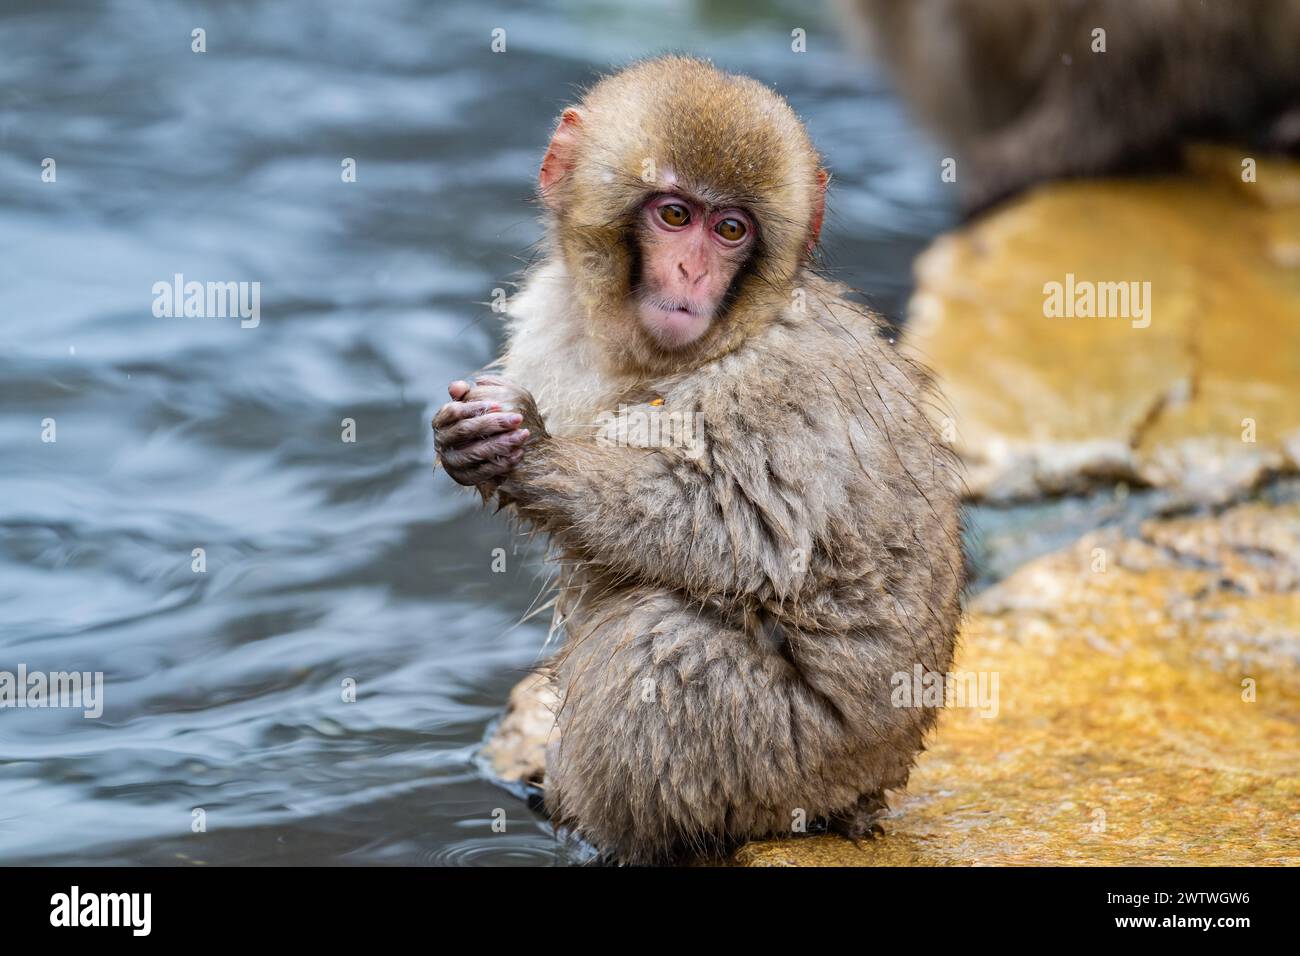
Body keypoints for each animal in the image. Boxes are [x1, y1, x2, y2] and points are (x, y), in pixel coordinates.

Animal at [433, 57, 964, 864]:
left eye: (732, 229)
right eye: (675, 217)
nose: (689, 273)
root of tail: (881, 779)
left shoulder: (779, 383)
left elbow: (743, 531)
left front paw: (534, 455)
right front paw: (468, 439)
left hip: (789, 758)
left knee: (662, 642)